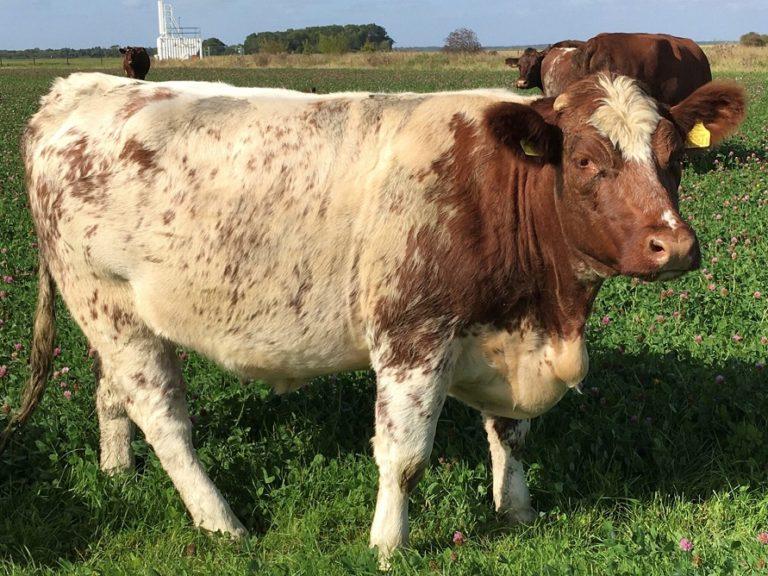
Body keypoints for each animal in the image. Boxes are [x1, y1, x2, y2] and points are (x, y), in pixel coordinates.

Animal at [3, 71, 744, 565]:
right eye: (588, 160)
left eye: (677, 157)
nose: (674, 245)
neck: (547, 312)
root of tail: (75, 90)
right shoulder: (412, 334)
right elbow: (405, 456)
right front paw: (389, 545)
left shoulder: (507, 336)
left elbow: (510, 435)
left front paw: (518, 512)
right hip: (104, 303)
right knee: (164, 419)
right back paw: (222, 524)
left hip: (125, 316)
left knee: (111, 394)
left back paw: (117, 474)